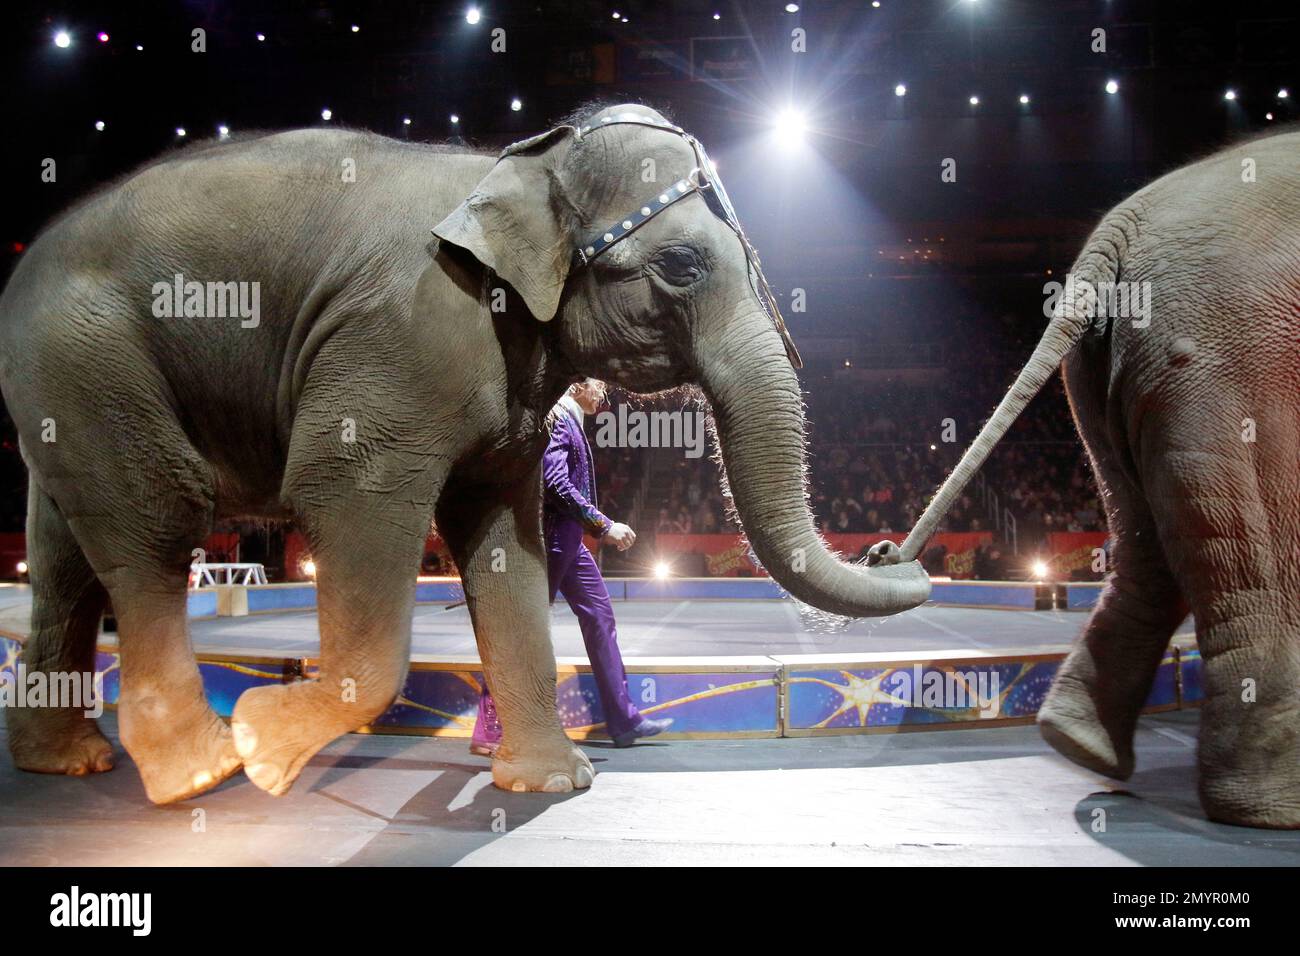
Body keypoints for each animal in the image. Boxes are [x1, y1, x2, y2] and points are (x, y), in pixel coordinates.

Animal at [0, 103, 931, 804]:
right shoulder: (406, 334)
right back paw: (199, 770)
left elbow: (506, 540)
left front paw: (554, 782)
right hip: (89, 354)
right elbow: (341, 490)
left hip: (64, 391)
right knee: (157, 522)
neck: (519, 164)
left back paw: (69, 759)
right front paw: (264, 740)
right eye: (679, 262)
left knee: (66, 558)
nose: (897, 552)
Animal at [873, 130, 1299, 828]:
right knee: (1245, 554)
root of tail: (1116, 233)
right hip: (1234, 371)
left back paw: (1077, 742)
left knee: (1152, 541)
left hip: (1116, 384)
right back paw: (1266, 807)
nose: (879, 550)